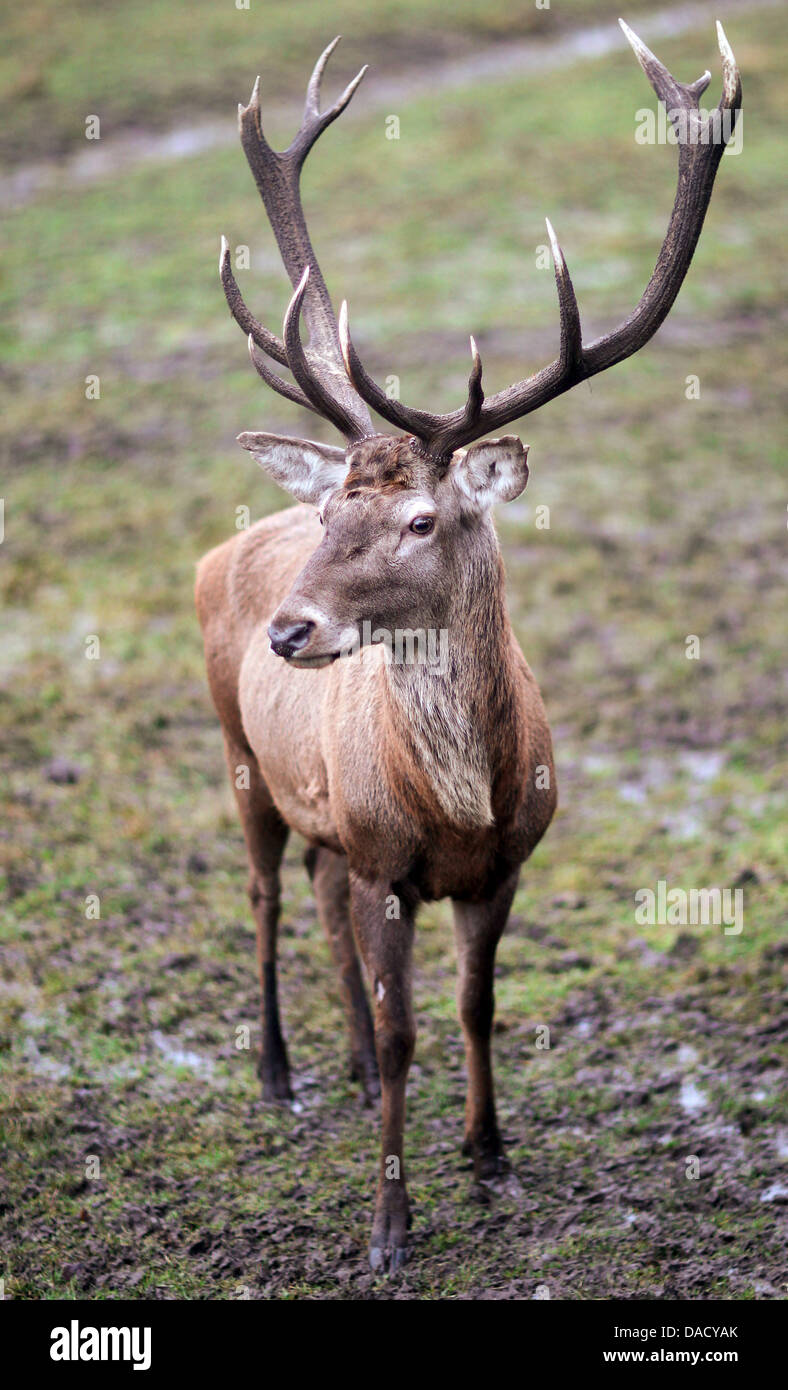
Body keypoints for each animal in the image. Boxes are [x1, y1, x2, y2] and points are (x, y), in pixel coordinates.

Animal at [196, 22, 741, 1272]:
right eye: (334, 508)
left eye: (418, 519)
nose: (289, 628)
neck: (452, 809)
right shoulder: (386, 863)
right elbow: (408, 1032)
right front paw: (388, 1226)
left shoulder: (508, 860)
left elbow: (472, 1005)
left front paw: (489, 1154)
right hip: (237, 754)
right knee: (262, 892)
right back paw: (280, 1072)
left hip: (315, 806)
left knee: (315, 892)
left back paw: (343, 1067)